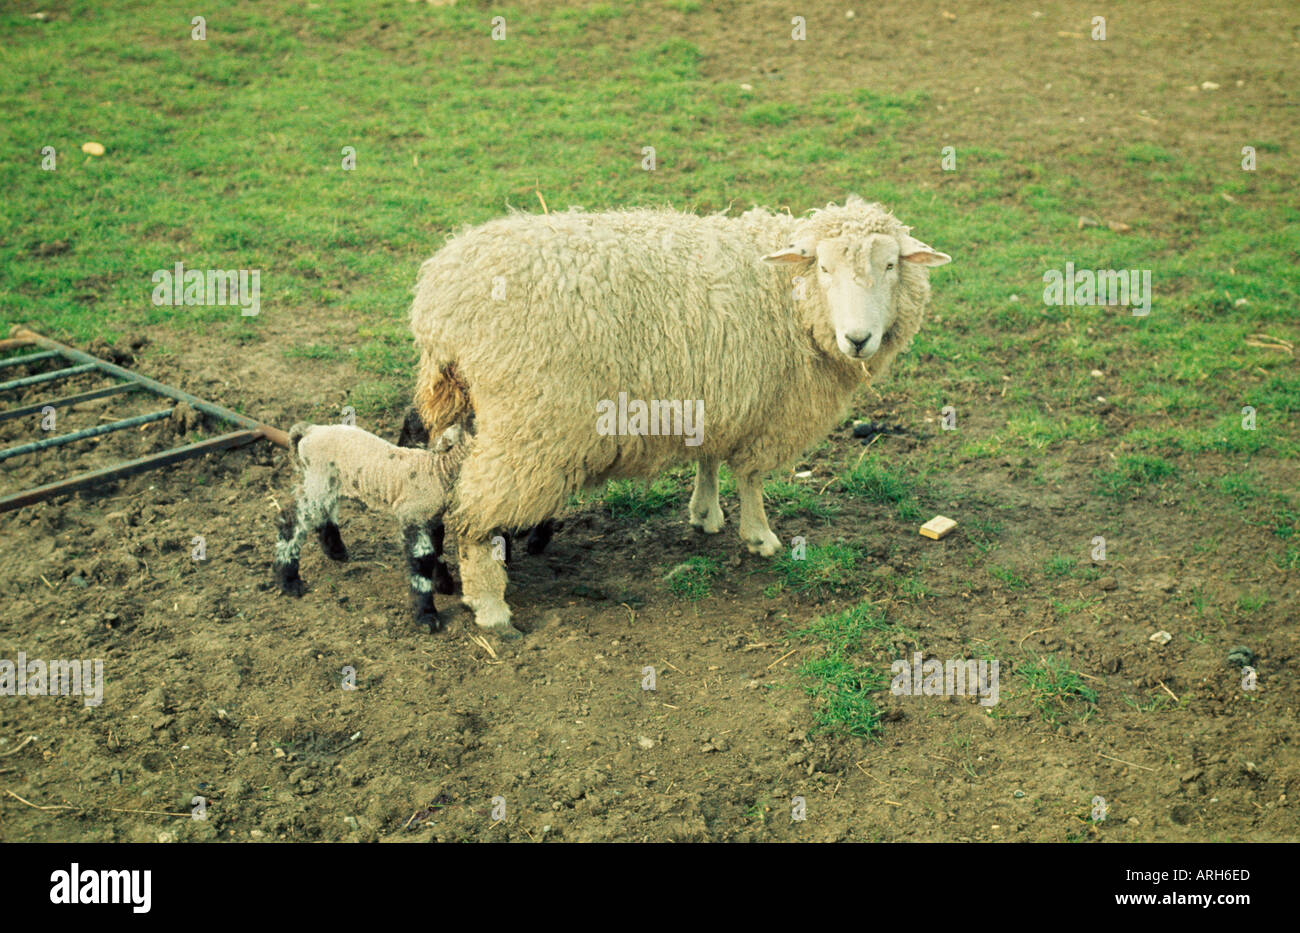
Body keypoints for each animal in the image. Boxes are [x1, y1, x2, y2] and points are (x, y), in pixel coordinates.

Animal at [272, 421, 469, 632]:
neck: (438, 470)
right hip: (318, 478)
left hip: (330, 482)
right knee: (292, 520)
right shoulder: (413, 515)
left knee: (324, 513)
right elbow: (422, 560)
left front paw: (444, 584)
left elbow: (438, 548)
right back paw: (289, 580)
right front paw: (426, 615)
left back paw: (336, 551)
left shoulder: (431, 517)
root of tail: (310, 430)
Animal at [409, 195, 951, 633]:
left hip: (454, 404)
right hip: (528, 423)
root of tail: (441, 298)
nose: (858, 339)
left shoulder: (717, 395)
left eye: (890, 265)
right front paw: (759, 536)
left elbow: (709, 459)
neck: (788, 296)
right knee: (473, 514)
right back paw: (490, 606)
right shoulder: (766, 409)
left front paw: (705, 513)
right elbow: (751, 477)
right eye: (822, 268)